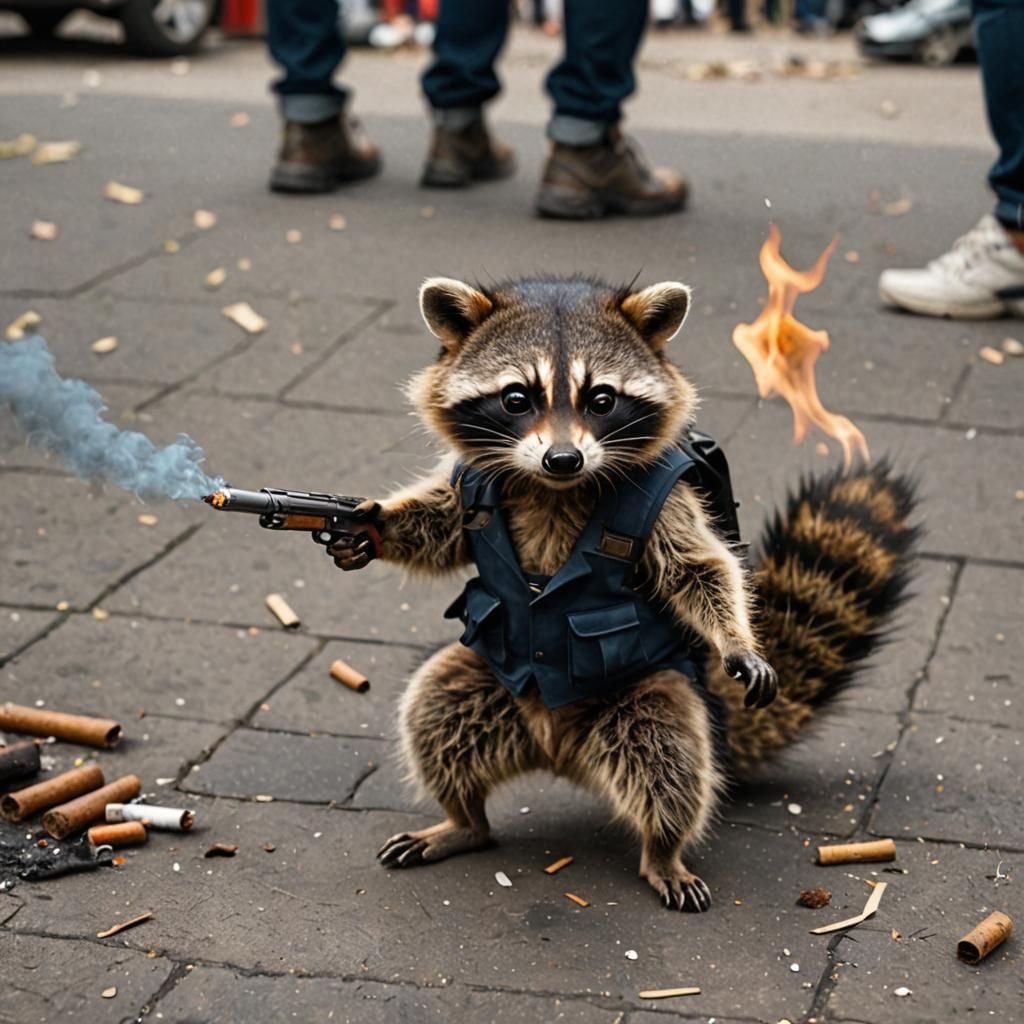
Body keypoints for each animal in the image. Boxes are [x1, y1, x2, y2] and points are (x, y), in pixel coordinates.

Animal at [328, 275, 918, 912]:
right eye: (517, 399)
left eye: (602, 400)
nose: (564, 458)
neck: (554, 486)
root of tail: (558, 752)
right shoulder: (473, 481)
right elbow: (440, 527)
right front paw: (376, 525)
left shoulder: (666, 496)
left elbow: (697, 568)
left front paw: (735, 638)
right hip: (488, 681)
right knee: (436, 711)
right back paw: (464, 819)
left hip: (646, 694)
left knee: (668, 757)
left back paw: (661, 849)